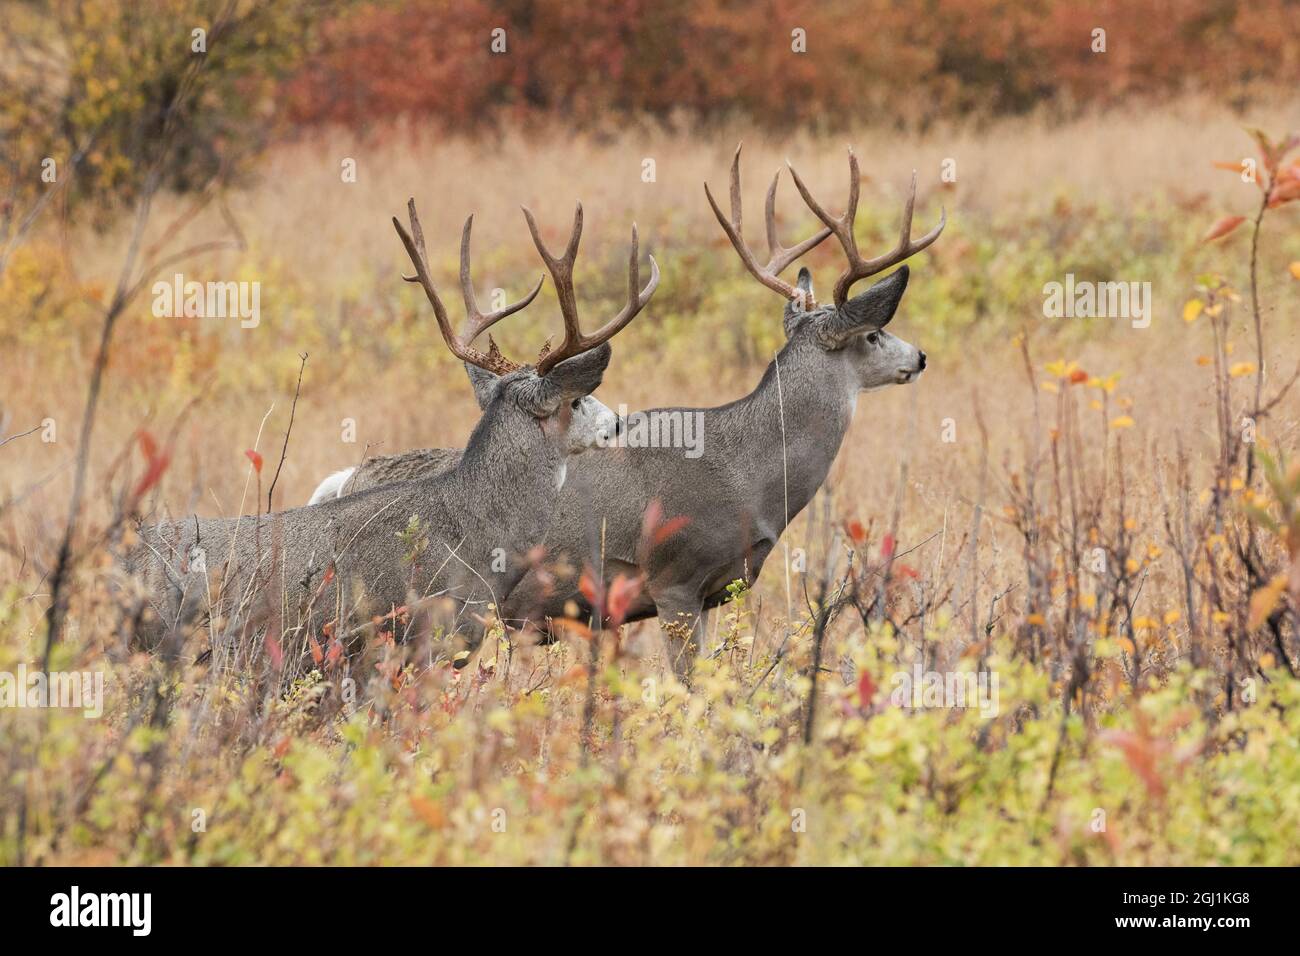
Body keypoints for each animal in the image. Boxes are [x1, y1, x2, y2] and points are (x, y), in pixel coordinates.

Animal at [305, 145, 943, 682]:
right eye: (874, 333)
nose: (920, 356)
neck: (748, 474)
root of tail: (344, 480)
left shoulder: (712, 592)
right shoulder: (674, 579)